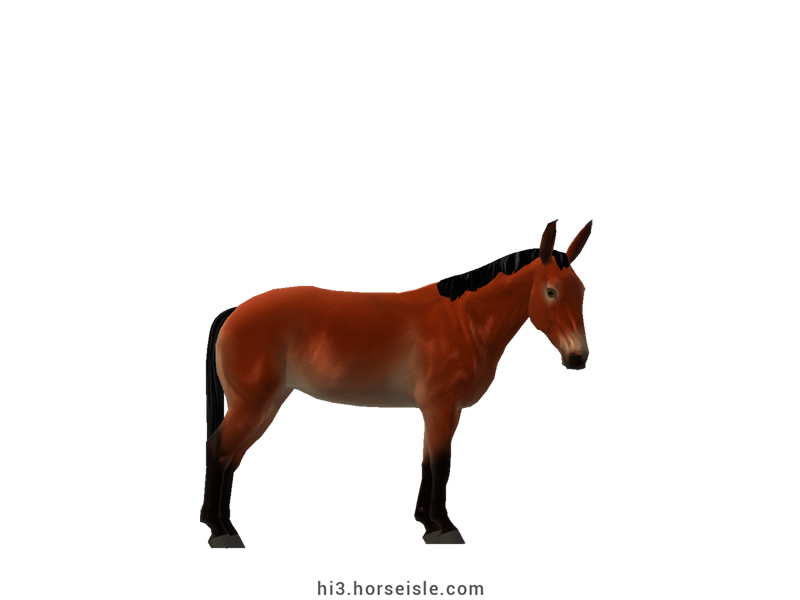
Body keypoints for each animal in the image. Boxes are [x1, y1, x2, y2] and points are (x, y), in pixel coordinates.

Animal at [201, 222, 591, 543]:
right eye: (551, 291)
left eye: (579, 288)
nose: (578, 356)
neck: (464, 321)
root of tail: (235, 312)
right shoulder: (440, 405)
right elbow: (441, 464)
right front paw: (445, 526)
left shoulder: (433, 408)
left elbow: (428, 462)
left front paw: (427, 522)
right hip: (249, 405)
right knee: (218, 449)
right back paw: (219, 531)